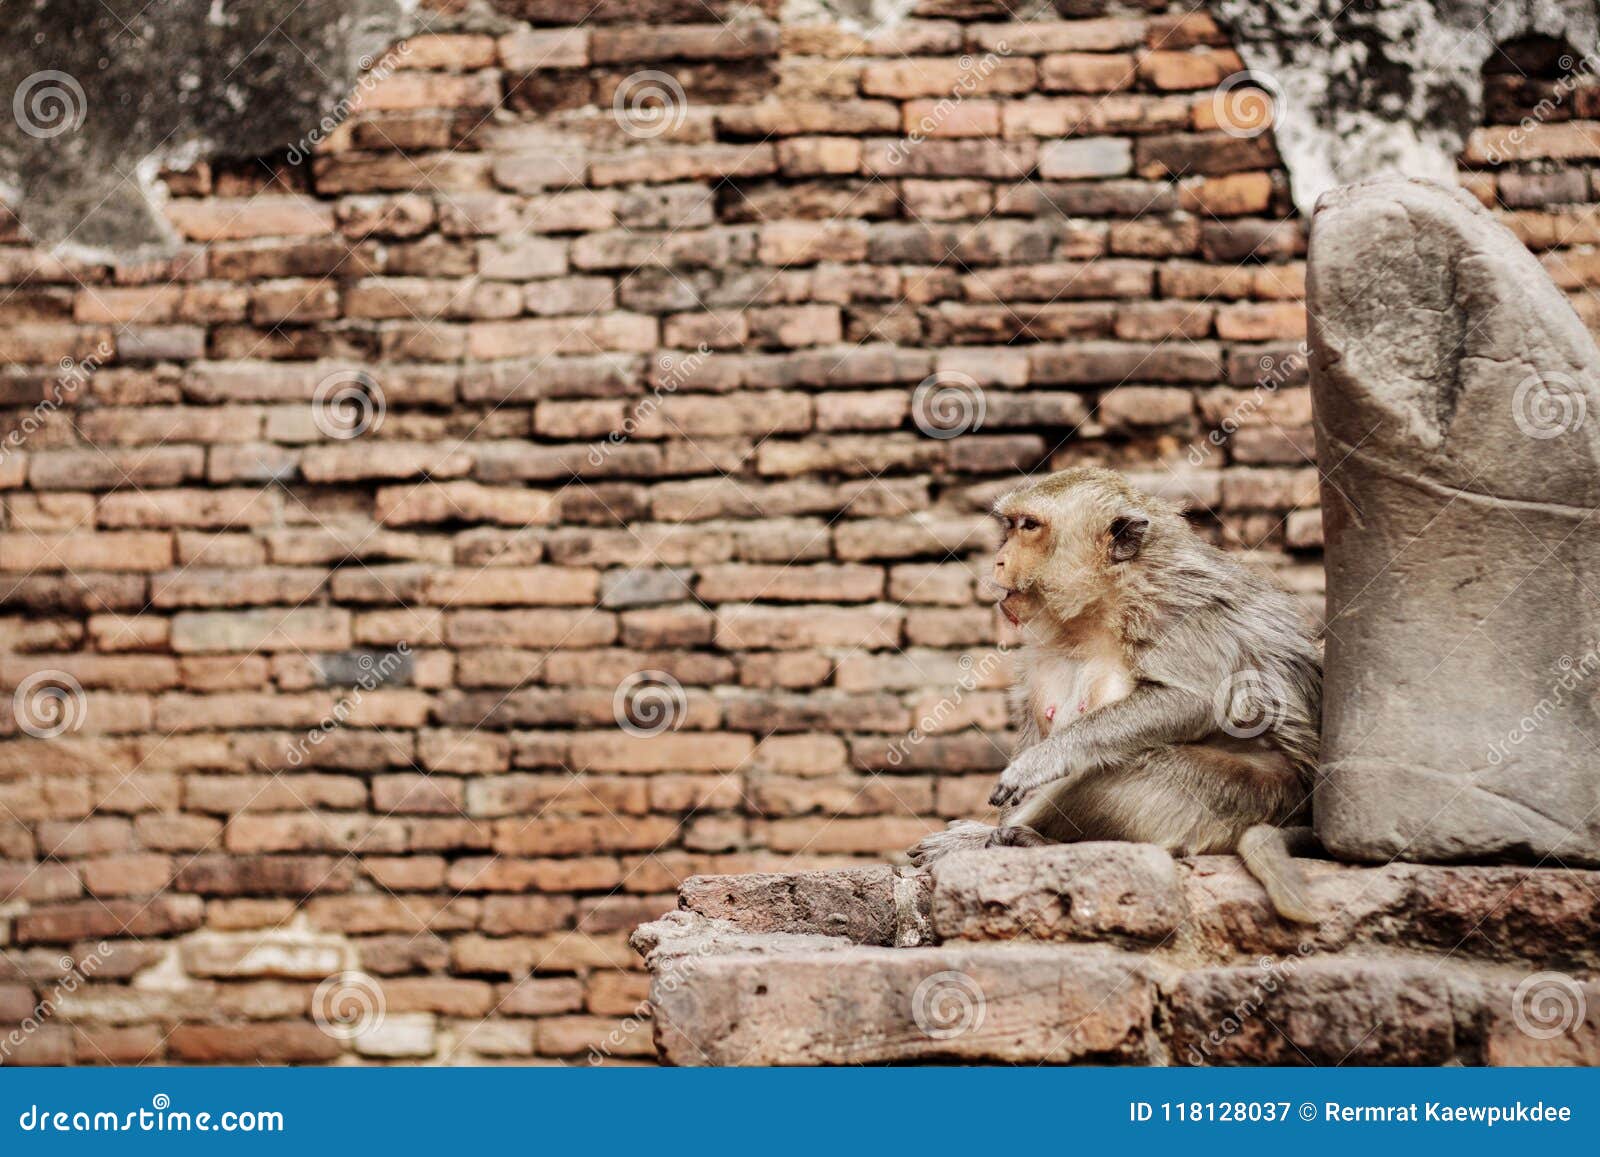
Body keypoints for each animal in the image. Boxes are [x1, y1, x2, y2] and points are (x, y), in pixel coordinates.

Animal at [908, 467, 1323, 923]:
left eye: (1030, 526)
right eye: (1012, 526)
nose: (999, 560)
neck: (1103, 604)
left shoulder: (1174, 609)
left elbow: (1195, 700)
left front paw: (1043, 761)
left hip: (1246, 797)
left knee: (1119, 766)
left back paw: (1031, 841)